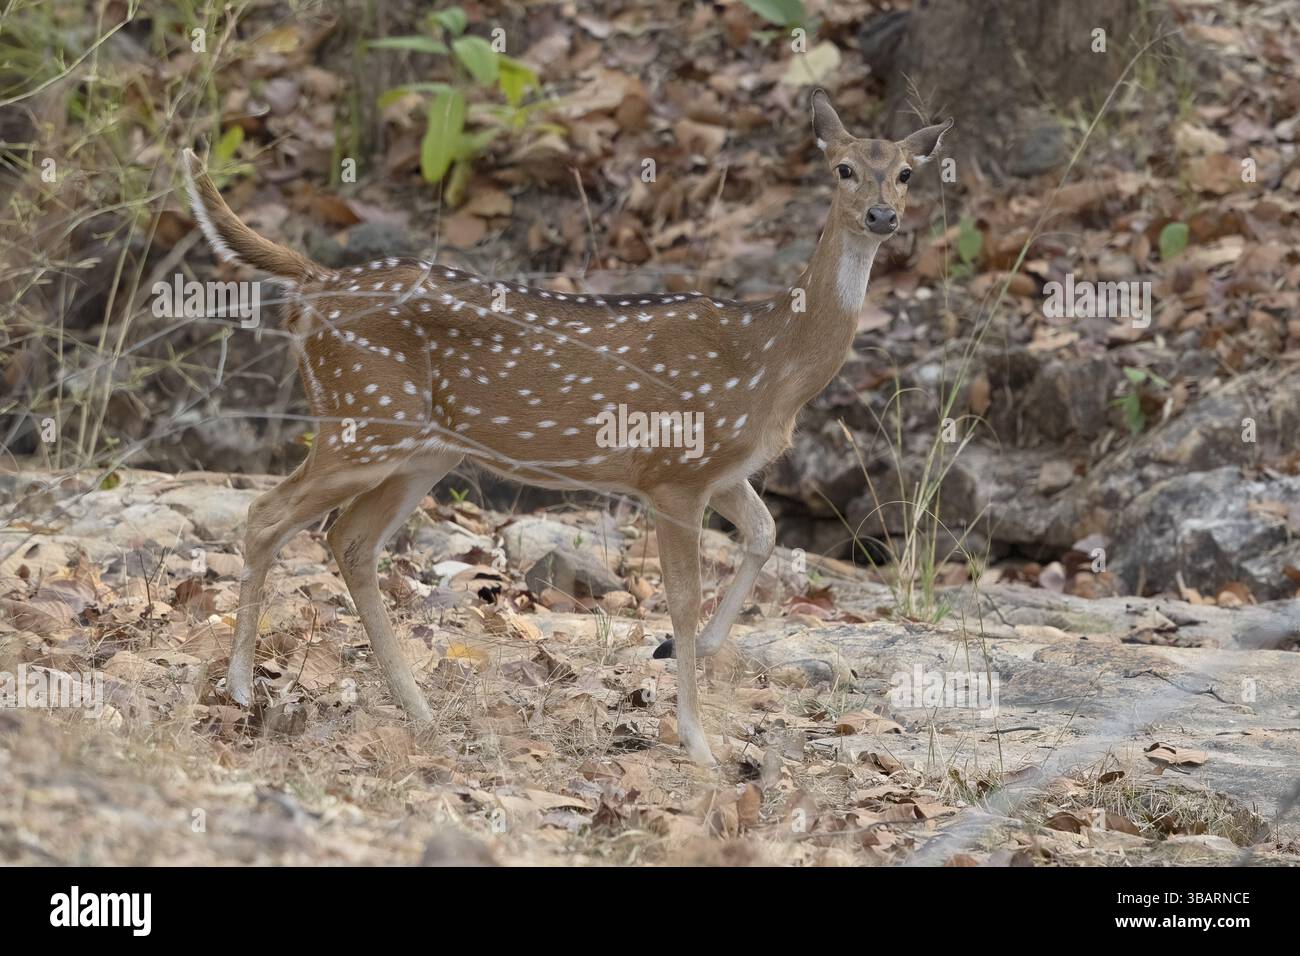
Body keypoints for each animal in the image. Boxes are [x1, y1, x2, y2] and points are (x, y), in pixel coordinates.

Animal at [182, 90, 951, 766]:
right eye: (842, 167)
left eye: (906, 172)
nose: (882, 214)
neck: (770, 364)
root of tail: (313, 285)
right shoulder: (672, 473)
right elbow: (680, 597)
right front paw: (698, 742)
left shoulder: (721, 470)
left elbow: (766, 536)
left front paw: (682, 656)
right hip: (362, 420)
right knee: (266, 511)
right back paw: (242, 687)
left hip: (418, 450)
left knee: (349, 539)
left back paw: (418, 710)